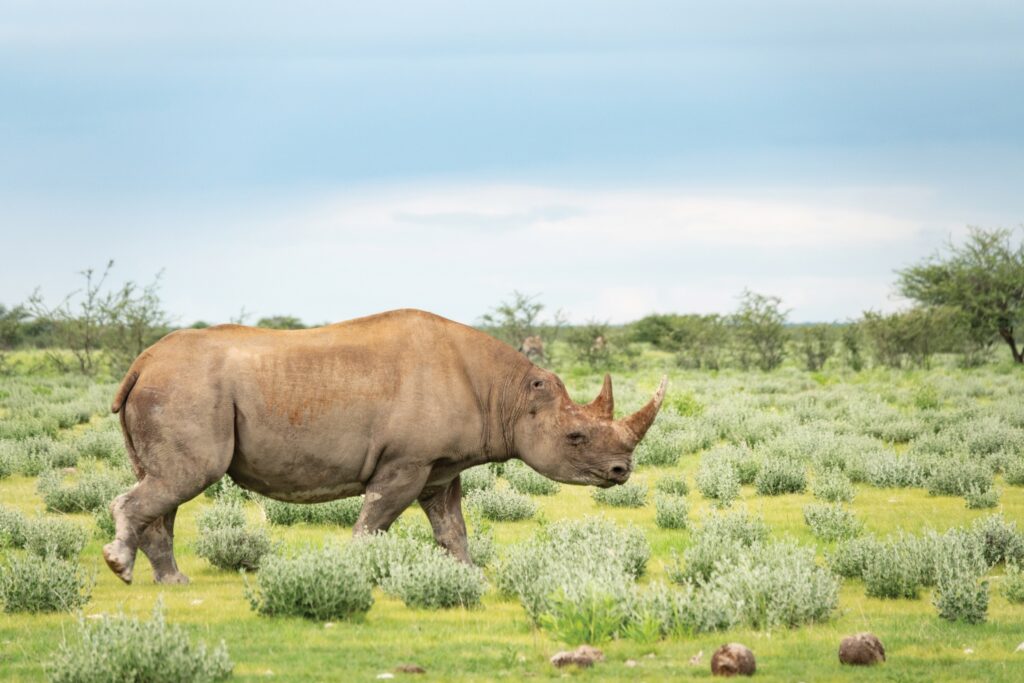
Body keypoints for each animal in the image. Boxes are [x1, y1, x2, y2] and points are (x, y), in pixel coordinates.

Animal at [104, 308, 667, 584]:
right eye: (576, 437)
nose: (621, 471)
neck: (507, 395)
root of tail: (141, 363)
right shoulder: (405, 462)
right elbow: (374, 521)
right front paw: (354, 574)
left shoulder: (441, 467)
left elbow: (452, 529)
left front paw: (470, 579)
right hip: (185, 389)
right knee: (183, 478)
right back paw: (121, 568)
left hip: (177, 388)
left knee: (165, 484)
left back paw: (171, 583)